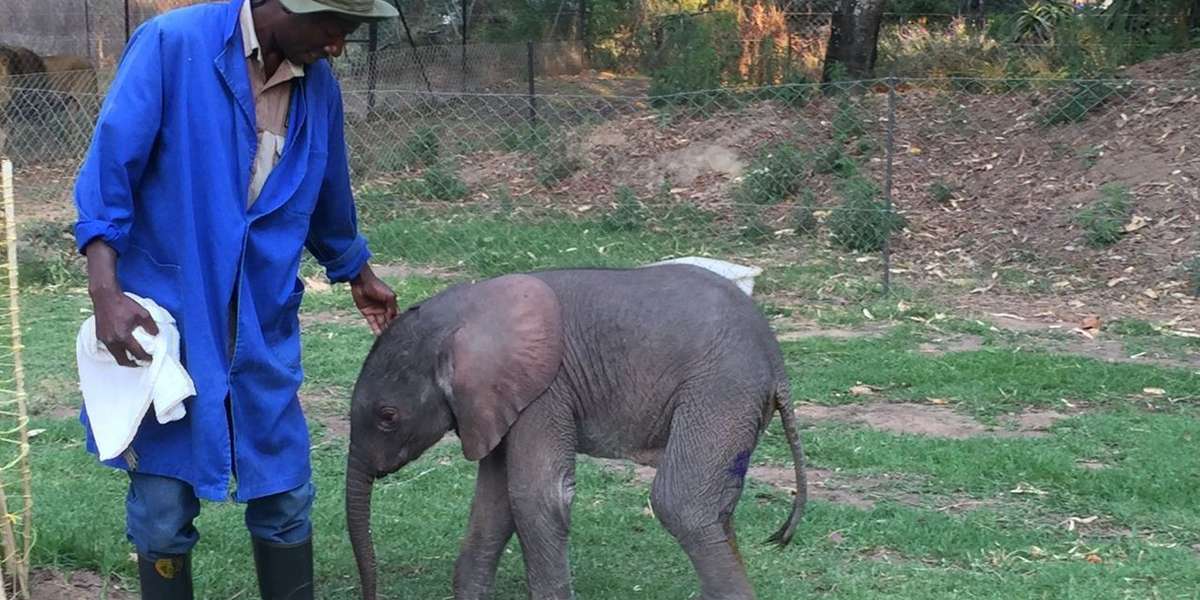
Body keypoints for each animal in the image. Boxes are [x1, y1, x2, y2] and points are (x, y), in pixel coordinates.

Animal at [345, 264, 807, 600]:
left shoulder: (546, 392)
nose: (370, 594)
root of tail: (777, 363)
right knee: (715, 511)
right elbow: (496, 503)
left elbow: (538, 497)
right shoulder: (491, 404)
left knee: (682, 504)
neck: (467, 317)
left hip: (721, 390)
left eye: (388, 416)